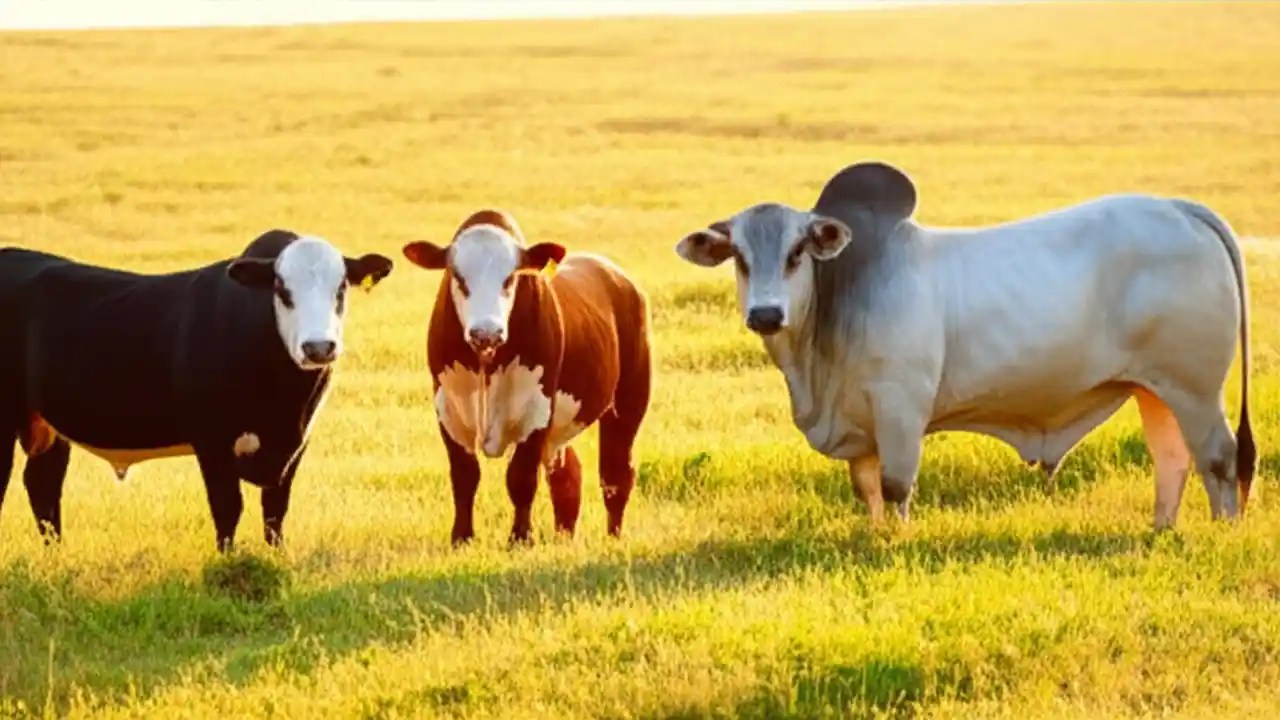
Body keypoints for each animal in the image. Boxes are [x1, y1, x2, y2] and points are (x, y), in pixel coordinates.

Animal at [0, 230, 393, 552]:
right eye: (282, 290)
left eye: (341, 288)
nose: (318, 347)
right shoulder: (212, 440)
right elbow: (227, 507)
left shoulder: (296, 443)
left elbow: (275, 510)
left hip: (45, 423)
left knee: (43, 485)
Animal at [402, 209, 651, 546]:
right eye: (458, 277)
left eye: (510, 278)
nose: (486, 332)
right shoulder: (448, 409)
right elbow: (465, 476)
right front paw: (462, 537)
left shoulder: (537, 411)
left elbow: (520, 478)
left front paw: (520, 538)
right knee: (567, 474)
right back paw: (564, 537)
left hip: (628, 402)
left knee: (615, 475)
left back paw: (613, 536)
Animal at [675, 161, 1254, 529]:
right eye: (739, 257)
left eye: (797, 252)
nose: (766, 314)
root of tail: (1179, 209)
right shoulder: (859, 429)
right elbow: (867, 489)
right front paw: (876, 535)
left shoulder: (900, 408)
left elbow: (895, 485)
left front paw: (898, 540)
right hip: (1154, 388)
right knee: (1173, 458)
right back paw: (1162, 528)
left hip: (1197, 389)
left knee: (1219, 458)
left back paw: (1222, 530)